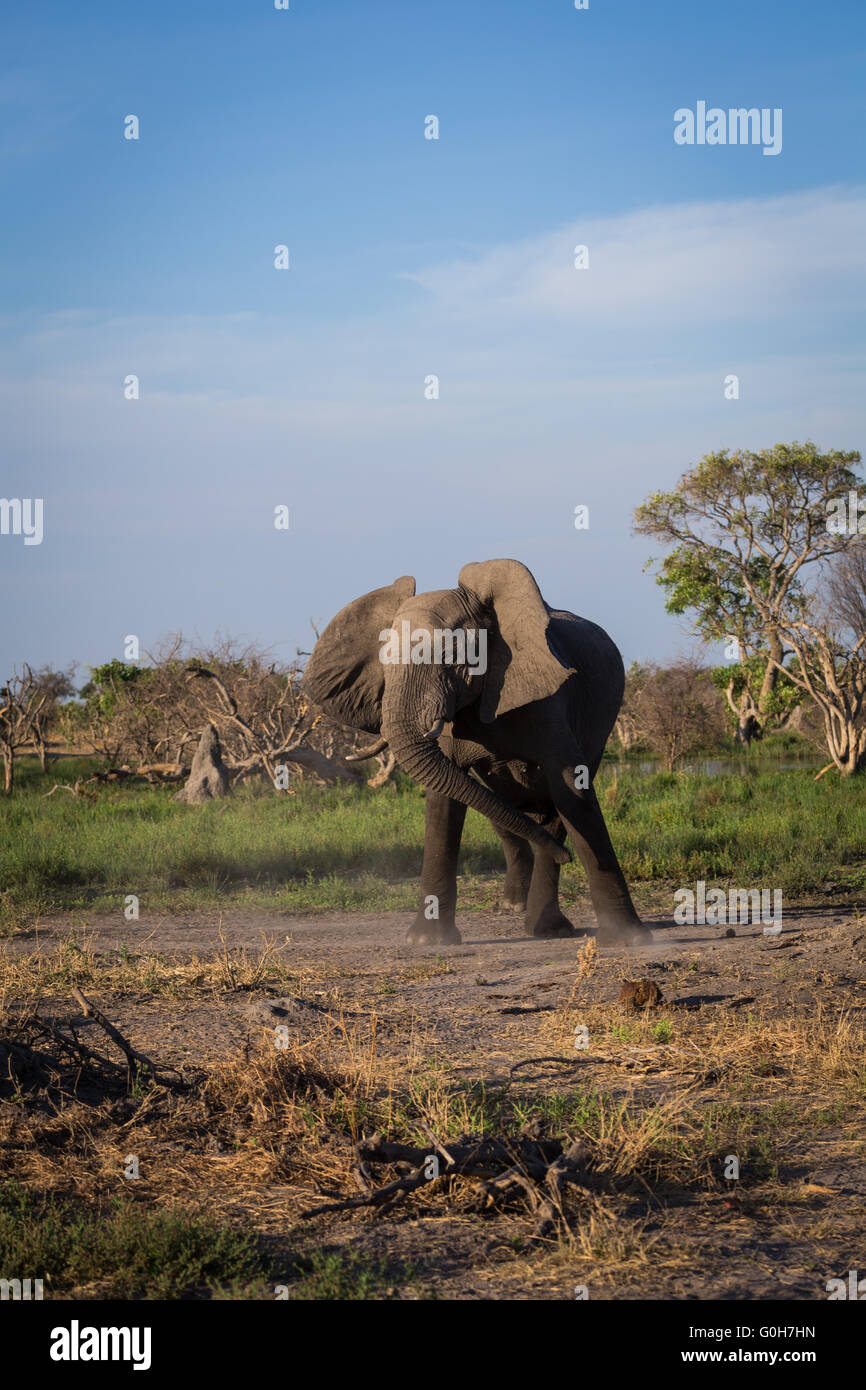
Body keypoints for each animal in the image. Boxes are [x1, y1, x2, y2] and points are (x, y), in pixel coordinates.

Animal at [302, 558, 649, 948]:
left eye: (450, 658)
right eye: (383, 663)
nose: (567, 858)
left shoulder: (548, 697)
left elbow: (572, 788)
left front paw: (630, 942)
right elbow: (444, 801)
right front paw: (426, 942)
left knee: (555, 810)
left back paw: (546, 925)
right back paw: (520, 905)